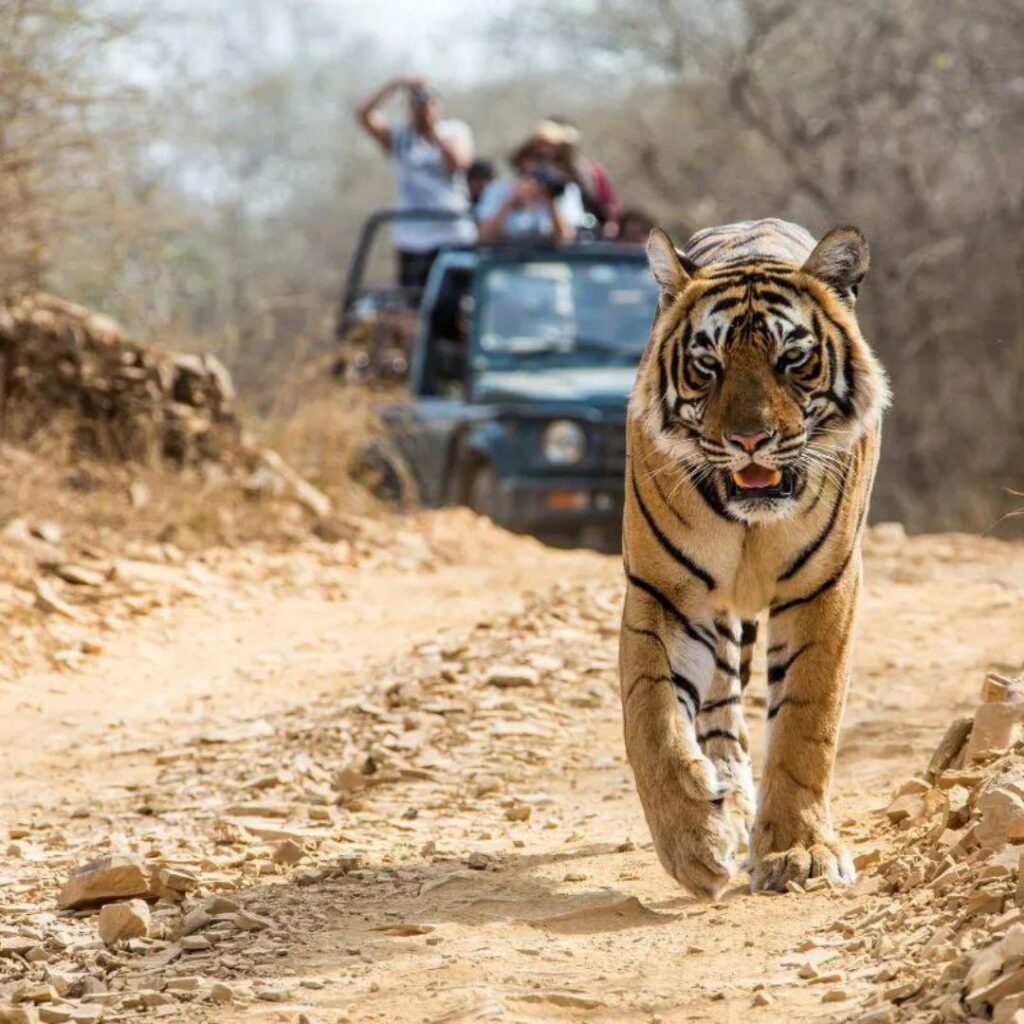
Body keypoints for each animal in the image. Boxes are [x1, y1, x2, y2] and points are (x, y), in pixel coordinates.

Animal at [619, 218, 889, 897]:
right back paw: (728, 801)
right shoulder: (664, 592)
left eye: (791, 359)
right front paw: (694, 842)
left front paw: (800, 853)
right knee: (719, 709)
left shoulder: (825, 587)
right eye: (707, 365)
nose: (749, 440)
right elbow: (652, 719)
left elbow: (805, 725)